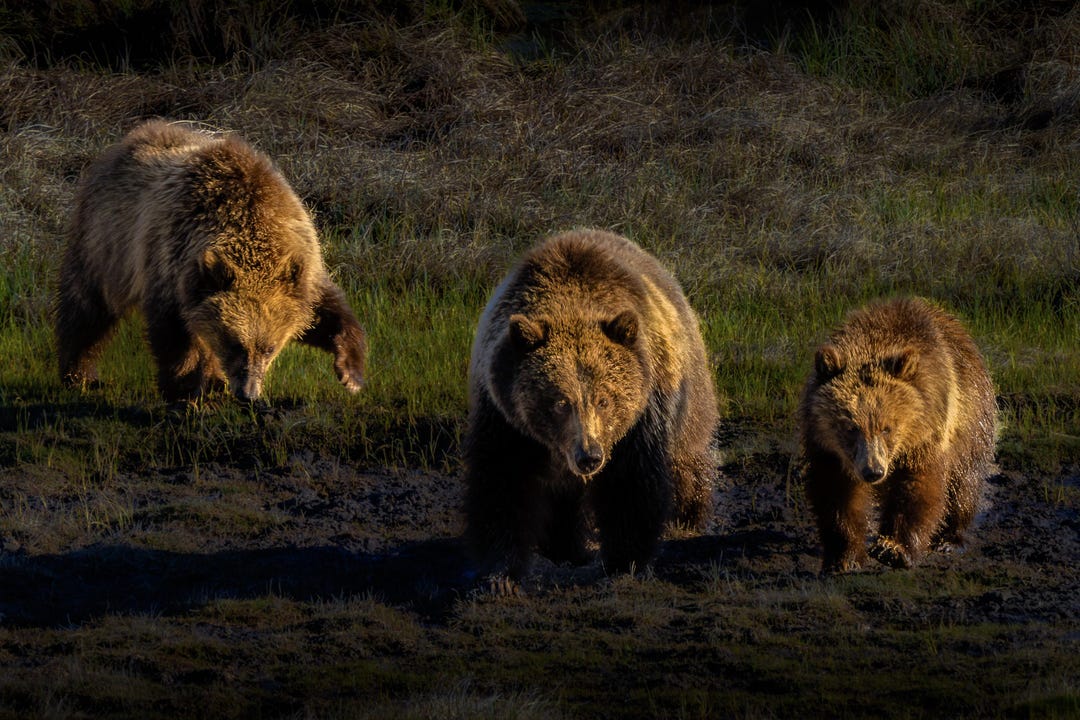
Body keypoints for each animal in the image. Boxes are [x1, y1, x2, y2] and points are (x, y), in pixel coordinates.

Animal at [55, 120, 367, 402]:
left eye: (269, 348)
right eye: (234, 344)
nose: (248, 394)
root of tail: (131, 137)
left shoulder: (301, 264)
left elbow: (329, 311)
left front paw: (350, 373)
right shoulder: (170, 264)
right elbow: (173, 334)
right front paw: (185, 387)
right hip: (104, 240)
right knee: (86, 307)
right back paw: (79, 375)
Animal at [464, 229, 719, 590]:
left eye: (604, 399)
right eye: (559, 402)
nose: (590, 456)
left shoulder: (641, 415)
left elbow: (631, 483)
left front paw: (624, 561)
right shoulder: (505, 414)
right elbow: (502, 483)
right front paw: (500, 573)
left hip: (688, 392)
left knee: (686, 458)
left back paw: (686, 519)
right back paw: (565, 547)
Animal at [797, 297, 998, 573]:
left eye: (887, 427)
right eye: (850, 427)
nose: (873, 471)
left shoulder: (926, 435)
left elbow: (917, 487)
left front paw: (892, 548)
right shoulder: (828, 447)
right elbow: (837, 494)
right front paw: (844, 556)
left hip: (972, 417)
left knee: (965, 481)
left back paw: (950, 538)